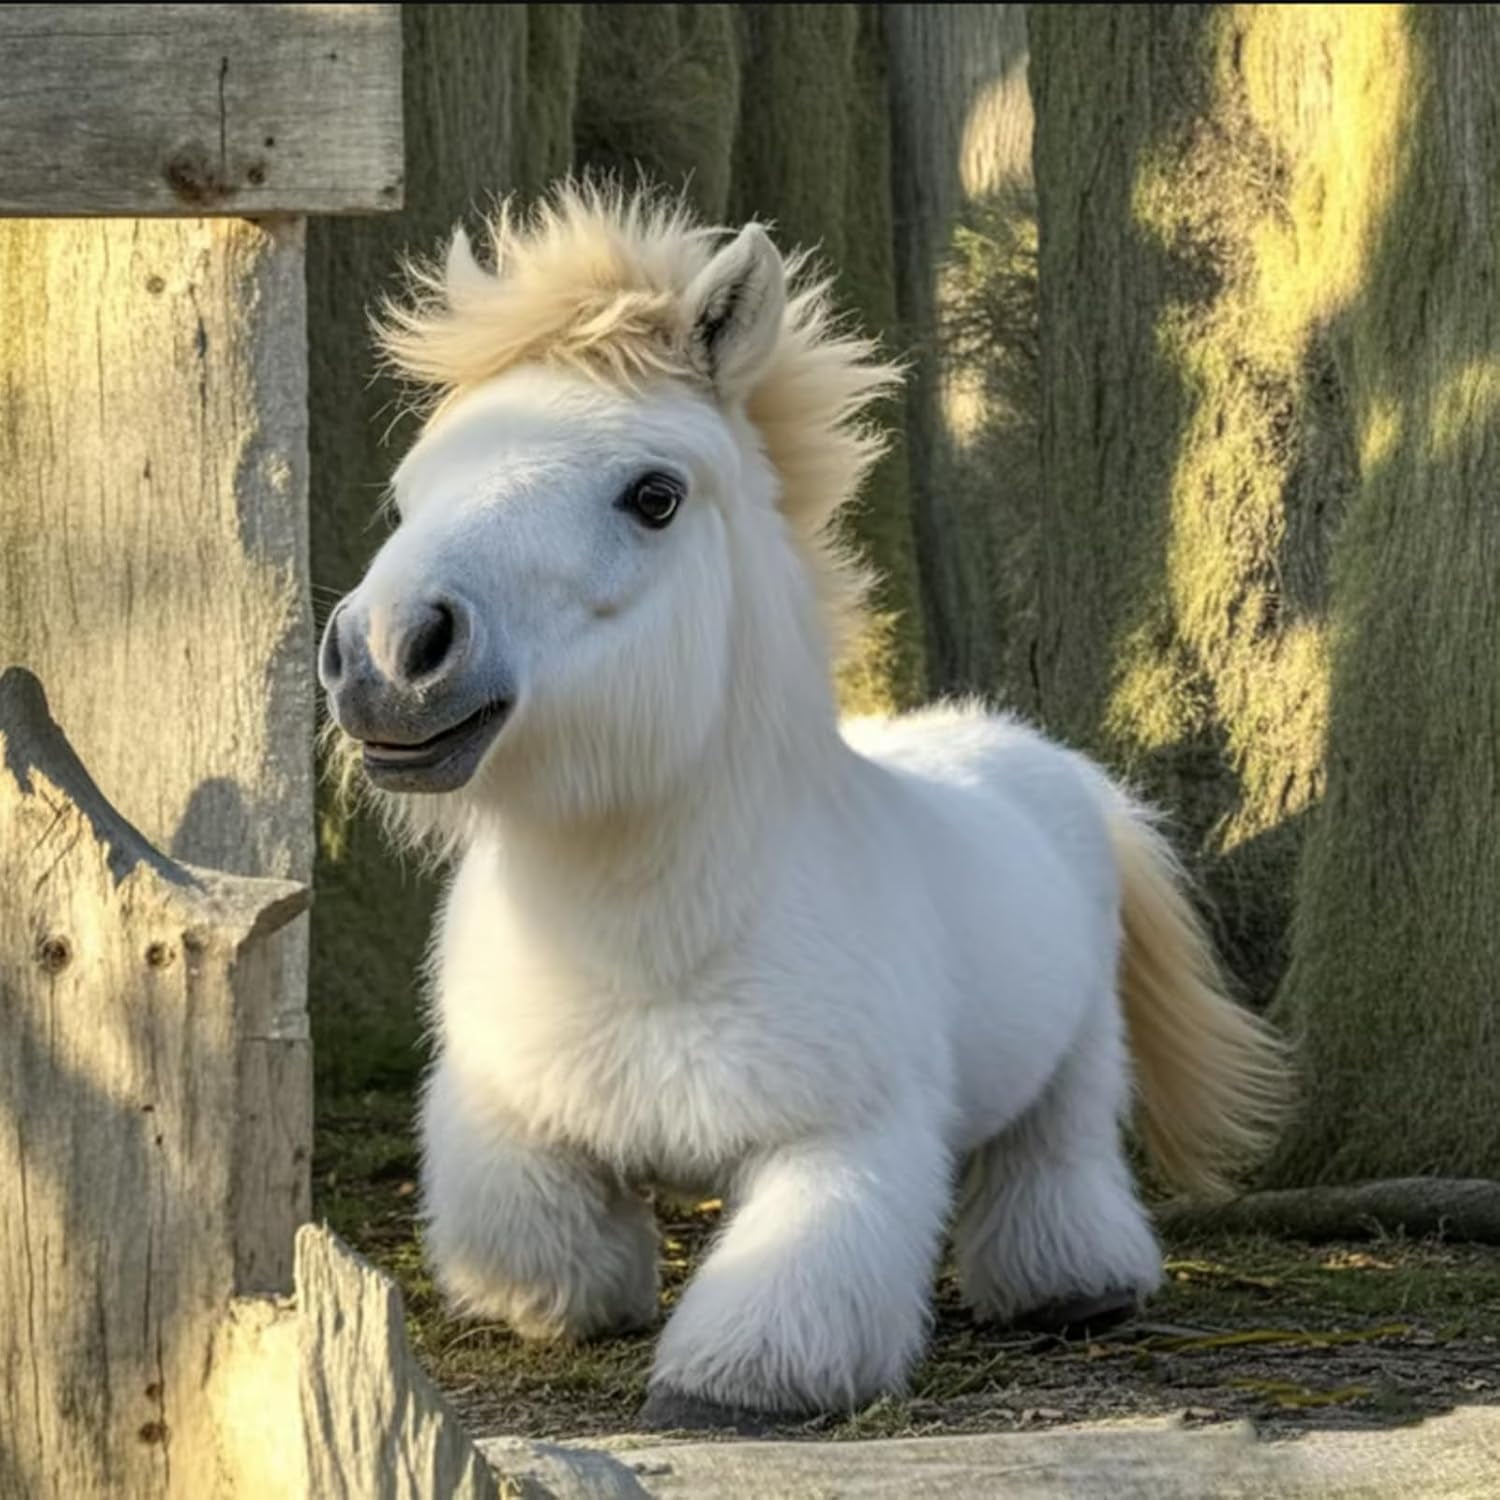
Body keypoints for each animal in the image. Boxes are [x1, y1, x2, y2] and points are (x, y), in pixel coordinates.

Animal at [318, 185, 1291, 1428]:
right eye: (409, 491)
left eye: (654, 496)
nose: (389, 654)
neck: (653, 950)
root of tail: (1038, 760)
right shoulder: (507, 1117)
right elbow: (537, 1242)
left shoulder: (840, 1140)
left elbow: (786, 1302)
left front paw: (728, 1389)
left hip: (1077, 1067)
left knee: (1053, 1161)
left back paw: (1074, 1288)